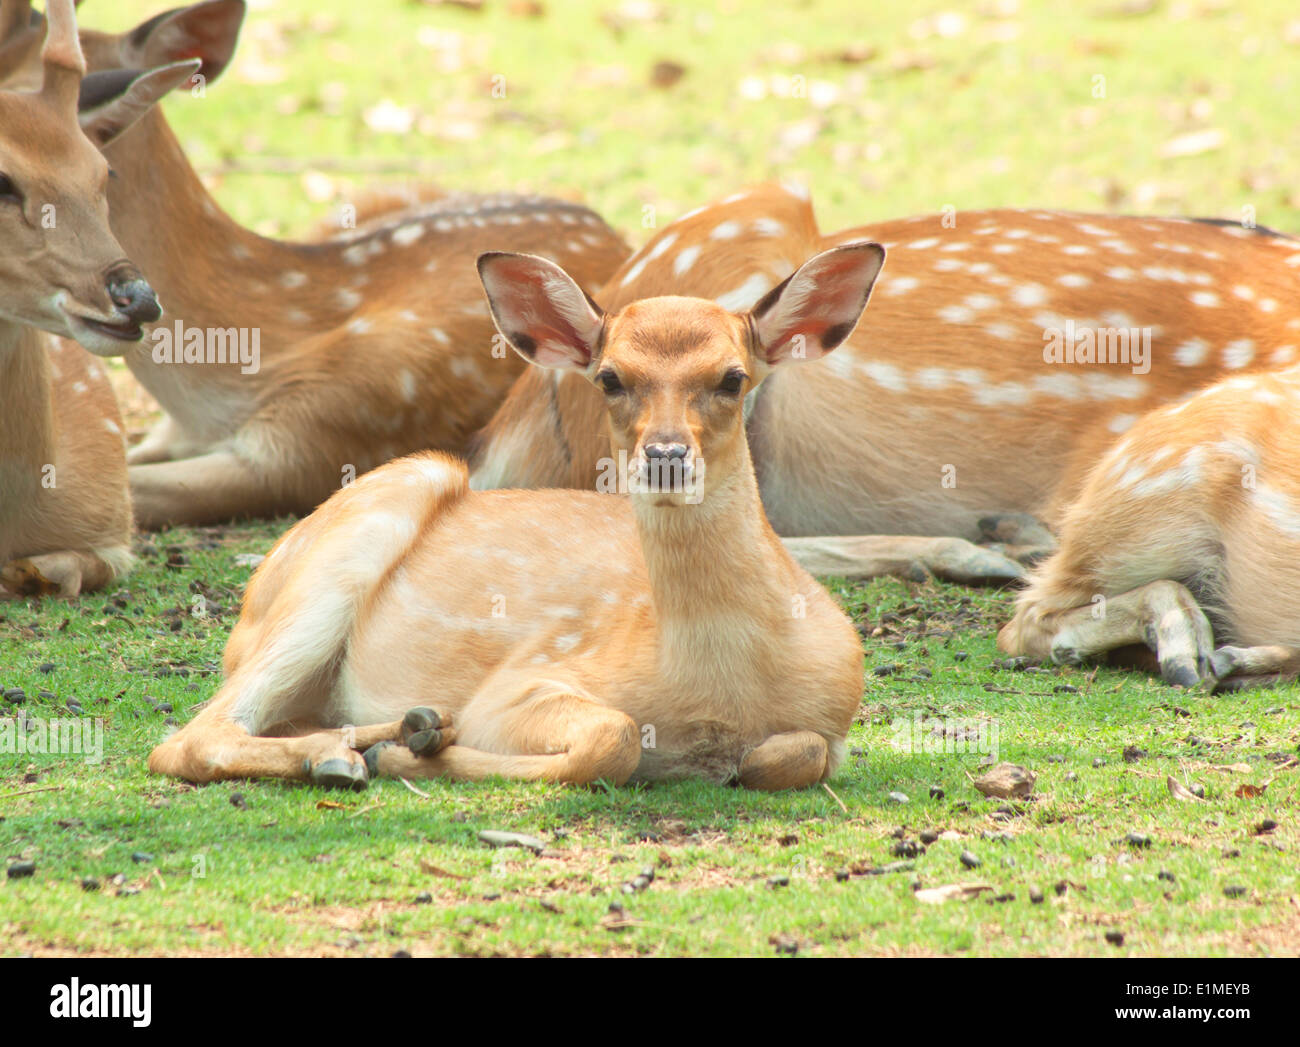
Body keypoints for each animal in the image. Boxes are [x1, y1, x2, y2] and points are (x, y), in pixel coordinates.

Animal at [146, 243, 885, 791]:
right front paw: (418, 751)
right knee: (187, 738)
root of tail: (247, 607)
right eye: (610, 377)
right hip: (368, 522)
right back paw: (359, 751)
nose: (666, 456)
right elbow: (614, 737)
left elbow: (794, 754)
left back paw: (389, 733)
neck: (721, 687)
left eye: (733, 377)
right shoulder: (521, 681)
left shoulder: (836, 715)